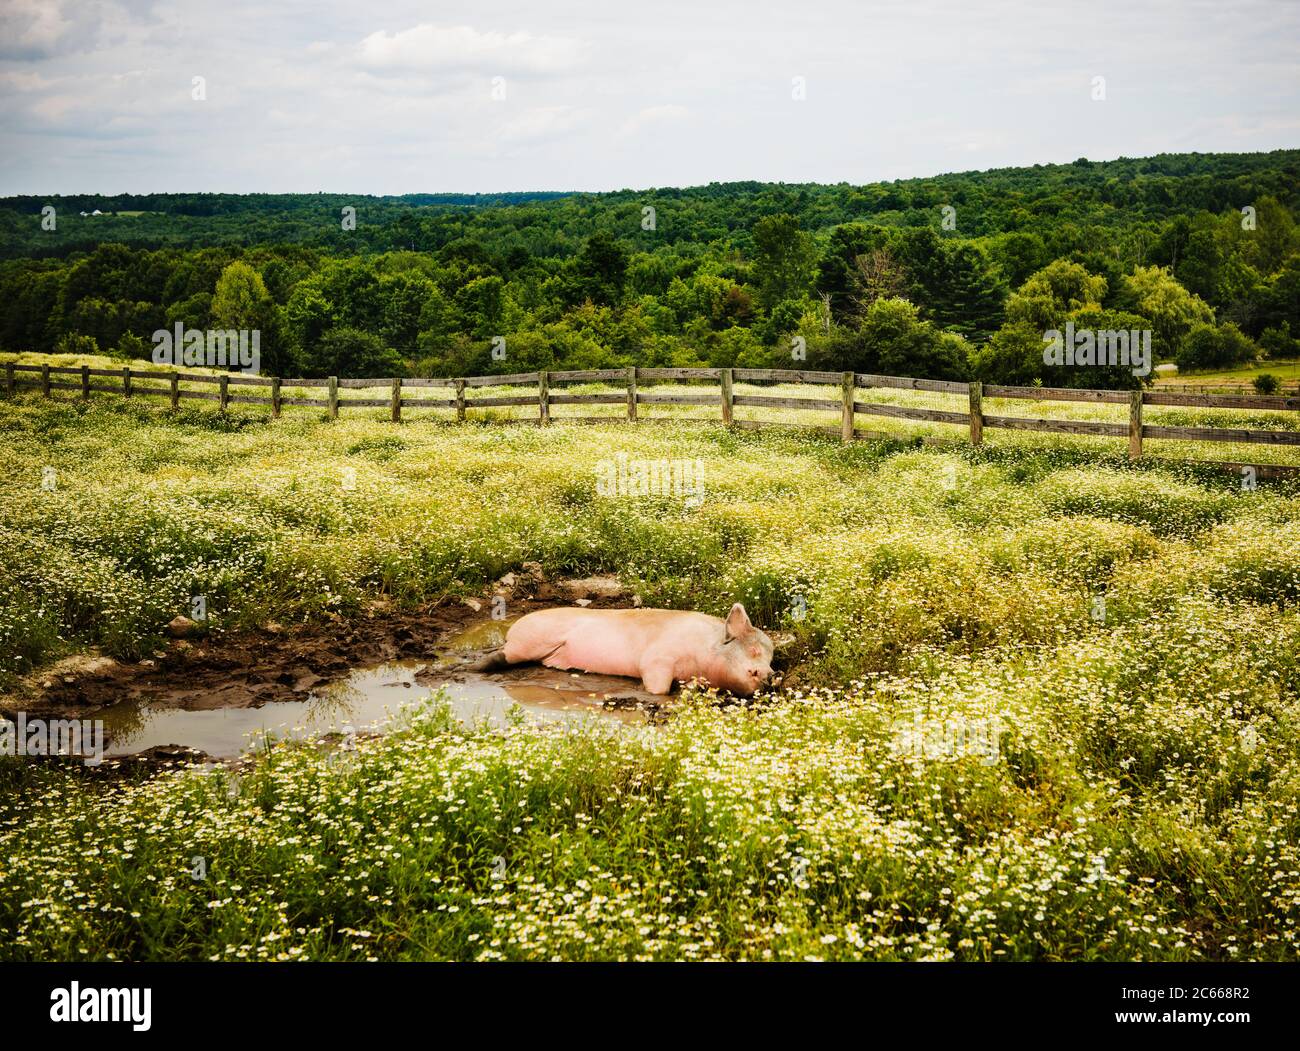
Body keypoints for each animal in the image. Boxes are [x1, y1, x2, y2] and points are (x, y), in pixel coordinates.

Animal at [476, 603, 775, 696]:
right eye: (754, 651)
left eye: (772, 657)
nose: (772, 674)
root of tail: (511, 630)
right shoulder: (657, 658)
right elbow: (658, 688)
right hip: (528, 641)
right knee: (500, 657)